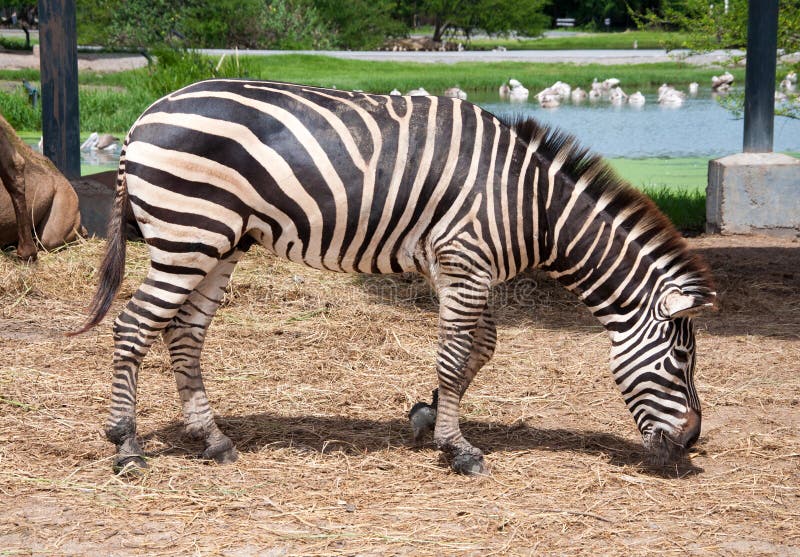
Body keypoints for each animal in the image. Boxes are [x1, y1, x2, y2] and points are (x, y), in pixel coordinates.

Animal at [72, 79, 715, 475]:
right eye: (680, 361)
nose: (691, 442)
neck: (536, 208)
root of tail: (142, 117)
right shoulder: (466, 259)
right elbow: (456, 356)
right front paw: (458, 449)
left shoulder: (457, 266)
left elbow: (480, 347)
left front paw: (428, 417)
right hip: (188, 232)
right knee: (134, 327)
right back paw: (126, 446)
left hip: (219, 241)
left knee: (183, 332)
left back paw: (212, 439)